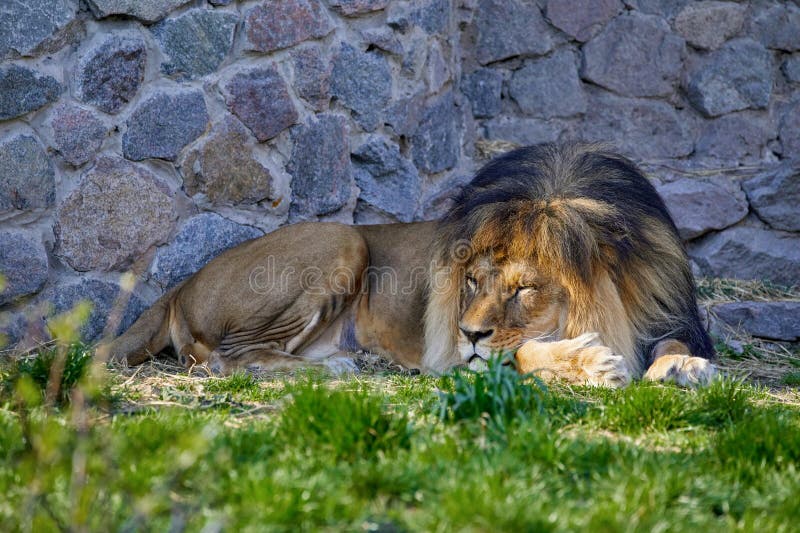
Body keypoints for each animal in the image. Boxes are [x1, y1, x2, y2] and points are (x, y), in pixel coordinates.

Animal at [98, 143, 716, 387]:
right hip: (342, 240)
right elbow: (520, 351)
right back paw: (336, 369)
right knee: (226, 358)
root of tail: (182, 283)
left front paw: (682, 367)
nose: (468, 331)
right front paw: (595, 363)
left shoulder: (668, 310)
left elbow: (672, 341)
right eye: (471, 281)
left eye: (524, 290)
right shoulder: (458, 359)